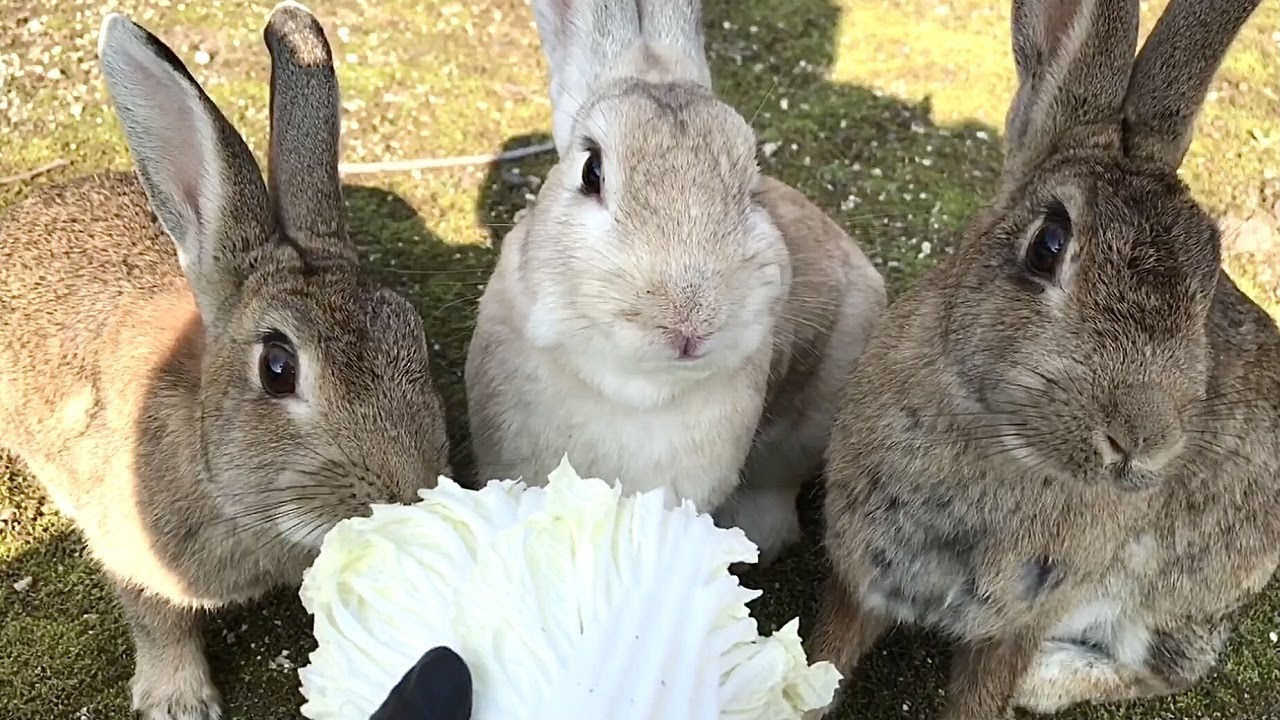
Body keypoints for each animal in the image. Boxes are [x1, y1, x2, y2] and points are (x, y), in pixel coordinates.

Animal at [0, 4, 450, 718]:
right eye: (277, 368)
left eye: (411, 331)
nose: (406, 493)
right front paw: (179, 701)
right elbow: (158, 621)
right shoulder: (133, 554)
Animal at [806, 0, 1277, 718]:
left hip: (1178, 590)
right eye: (1047, 245)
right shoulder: (863, 571)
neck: (995, 440)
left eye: (1209, 272)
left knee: (1170, 665)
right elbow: (823, 659)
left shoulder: (1014, 620)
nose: (1144, 440)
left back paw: (1046, 678)